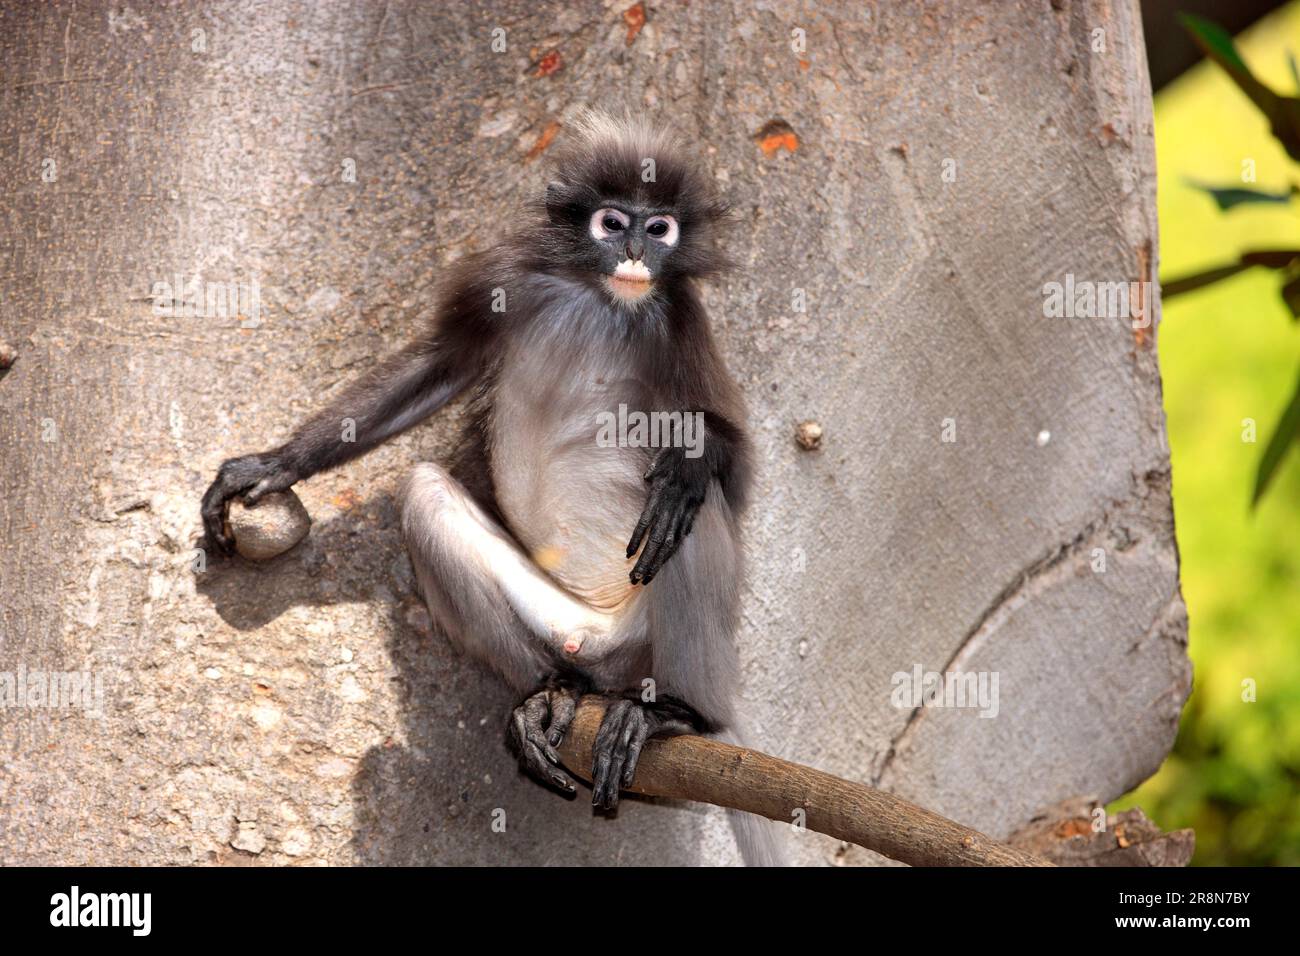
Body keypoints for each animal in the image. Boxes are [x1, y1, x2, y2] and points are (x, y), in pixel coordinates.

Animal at [200, 113, 784, 866]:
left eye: (660, 230)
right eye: (613, 221)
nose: (635, 253)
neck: (595, 298)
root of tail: (600, 645)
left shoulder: (681, 318)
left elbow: (731, 473)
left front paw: (690, 459)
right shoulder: (506, 277)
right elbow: (439, 366)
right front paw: (273, 464)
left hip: (647, 639)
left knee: (685, 513)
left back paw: (677, 716)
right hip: (557, 625)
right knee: (424, 491)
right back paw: (547, 693)